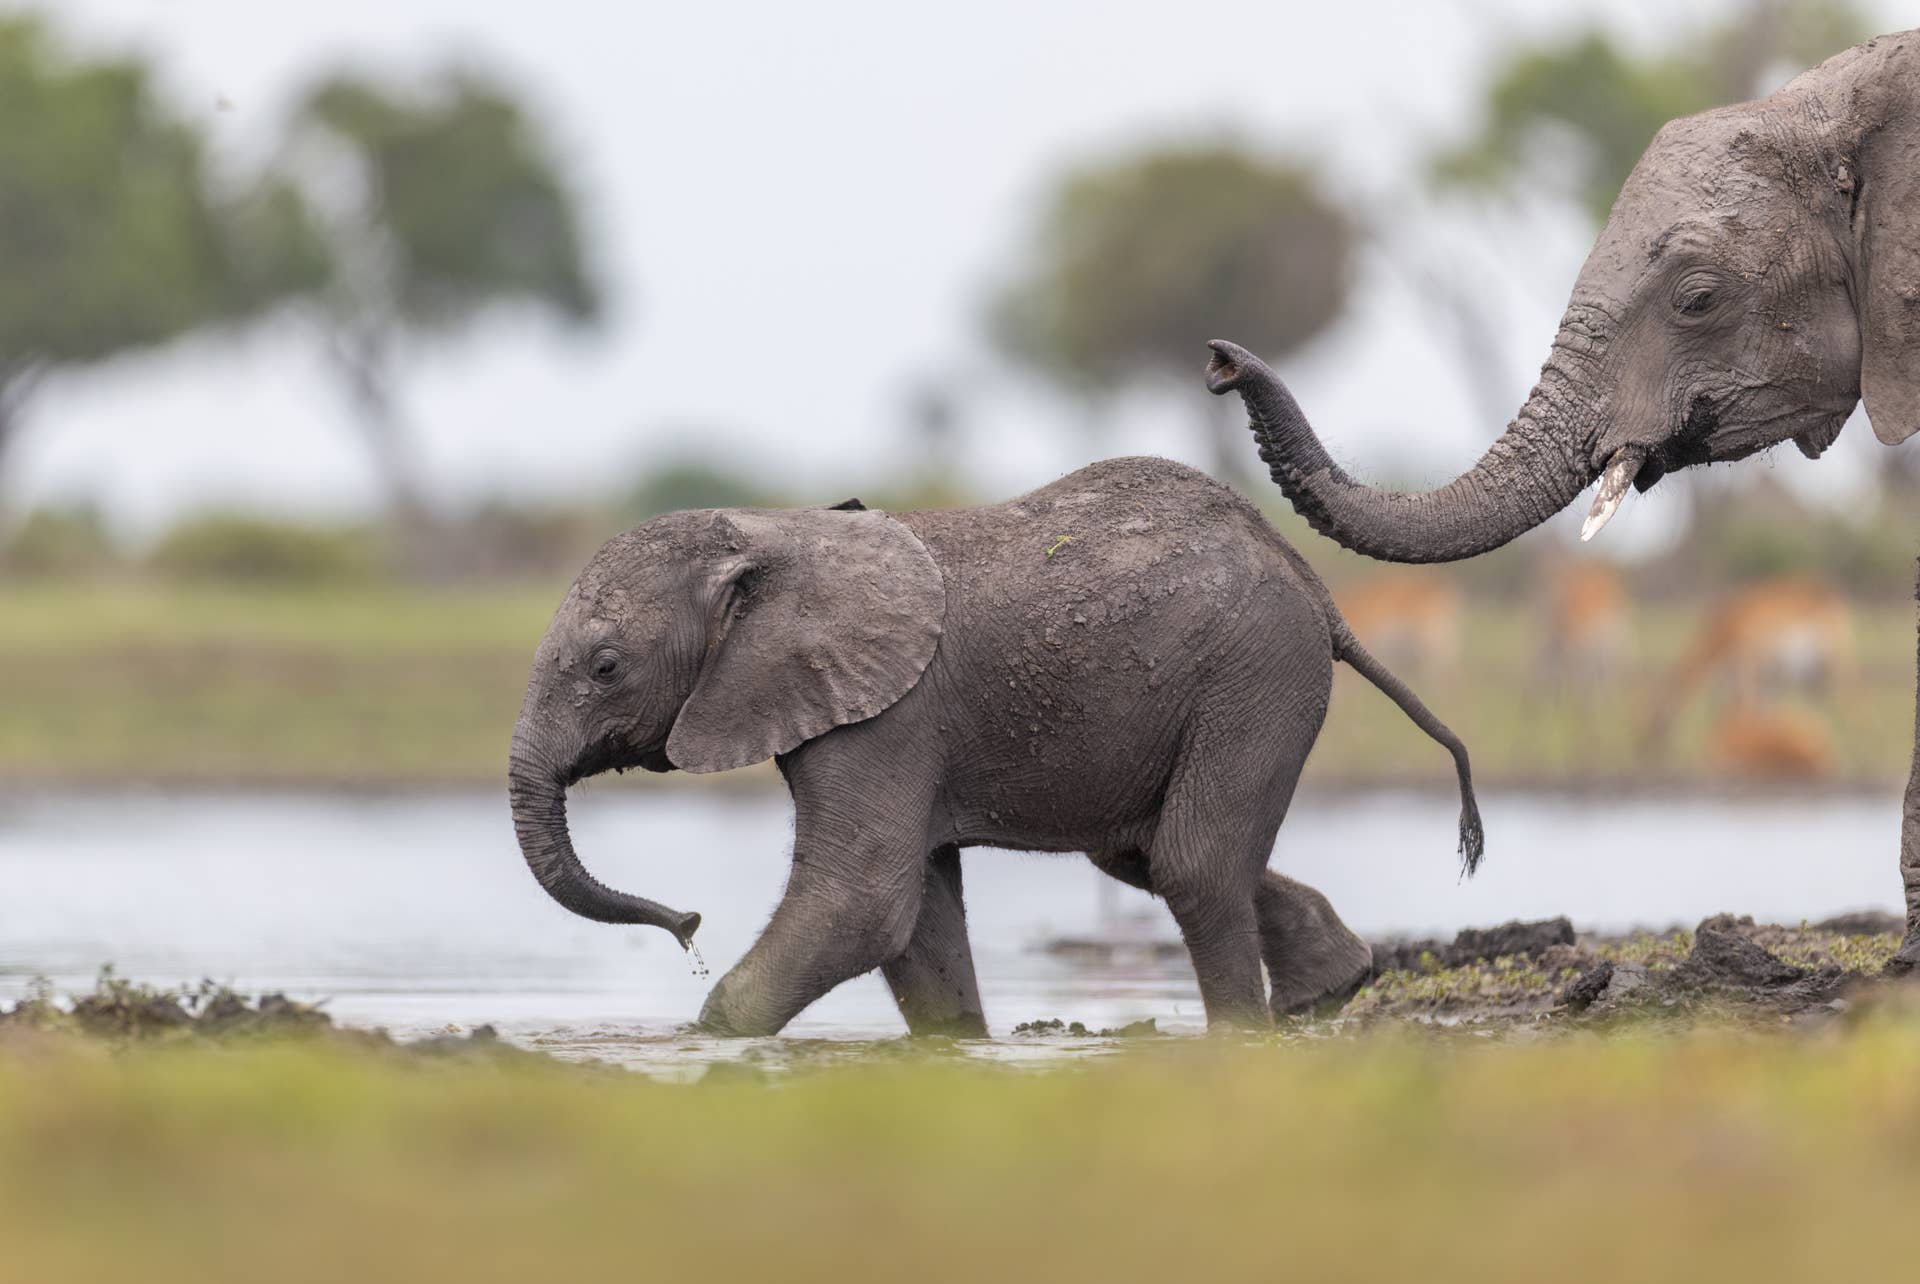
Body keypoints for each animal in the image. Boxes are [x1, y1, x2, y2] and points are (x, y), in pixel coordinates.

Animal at [508, 456, 1483, 1036]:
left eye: (604, 667)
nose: (687, 925)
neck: (770, 531)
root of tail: (1313, 584)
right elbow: (918, 917)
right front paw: (961, 1052)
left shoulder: (885, 718)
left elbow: (861, 902)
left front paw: (700, 1043)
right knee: (1144, 854)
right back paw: (1337, 985)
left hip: (1254, 676)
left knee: (1192, 863)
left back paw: (1247, 1036)